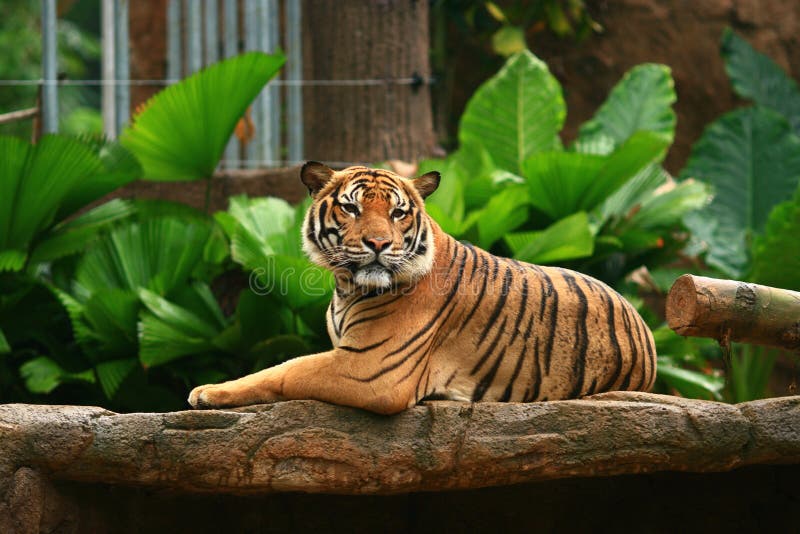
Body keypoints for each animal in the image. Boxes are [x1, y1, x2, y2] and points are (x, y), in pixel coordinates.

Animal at [188, 162, 657, 414]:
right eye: (351, 207)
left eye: (398, 213)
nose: (379, 244)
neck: (346, 287)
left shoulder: (369, 368)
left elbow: (285, 369)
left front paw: (207, 392)